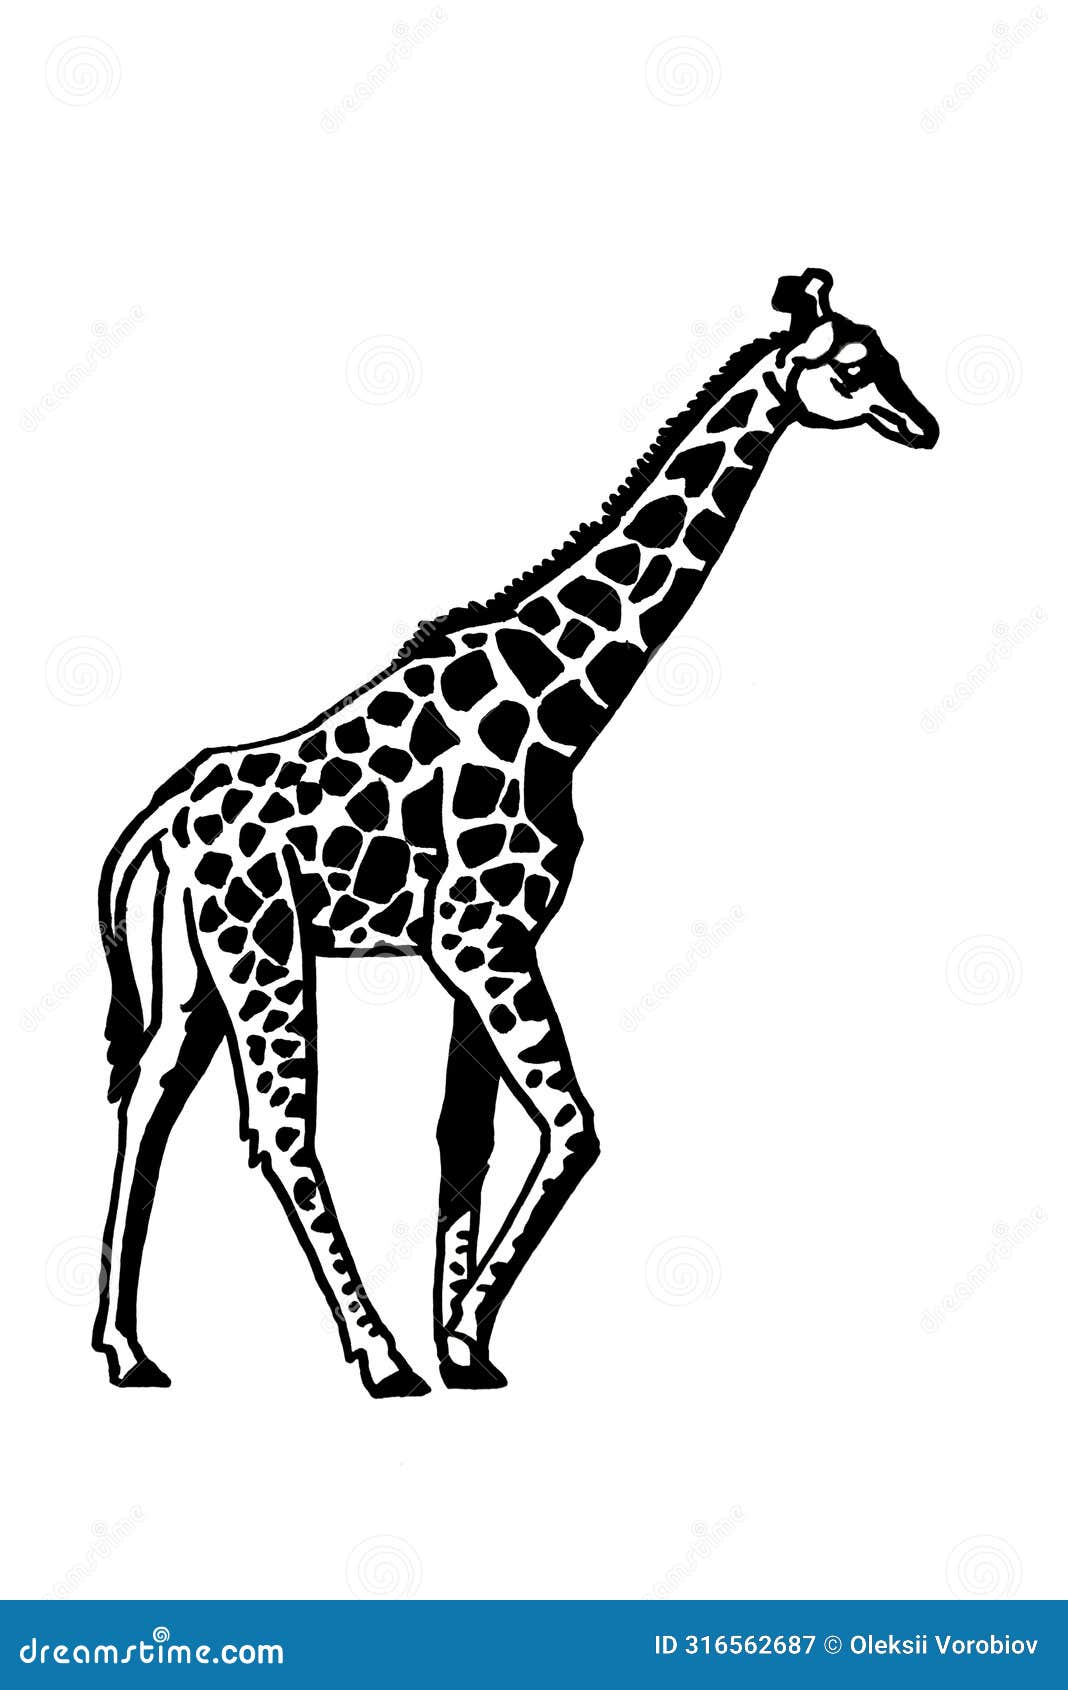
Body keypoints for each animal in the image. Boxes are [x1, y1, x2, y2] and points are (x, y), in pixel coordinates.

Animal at [94, 269, 938, 1397]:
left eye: (888, 351)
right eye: (851, 366)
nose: (924, 424)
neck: (562, 707)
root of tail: (163, 818)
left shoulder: (489, 941)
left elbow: (467, 1139)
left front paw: (466, 1346)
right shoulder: (478, 936)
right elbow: (572, 1127)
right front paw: (453, 1336)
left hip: (195, 966)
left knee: (146, 1102)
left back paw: (129, 1348)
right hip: (262, 949)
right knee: (279, 1129)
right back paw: (376, 1358)